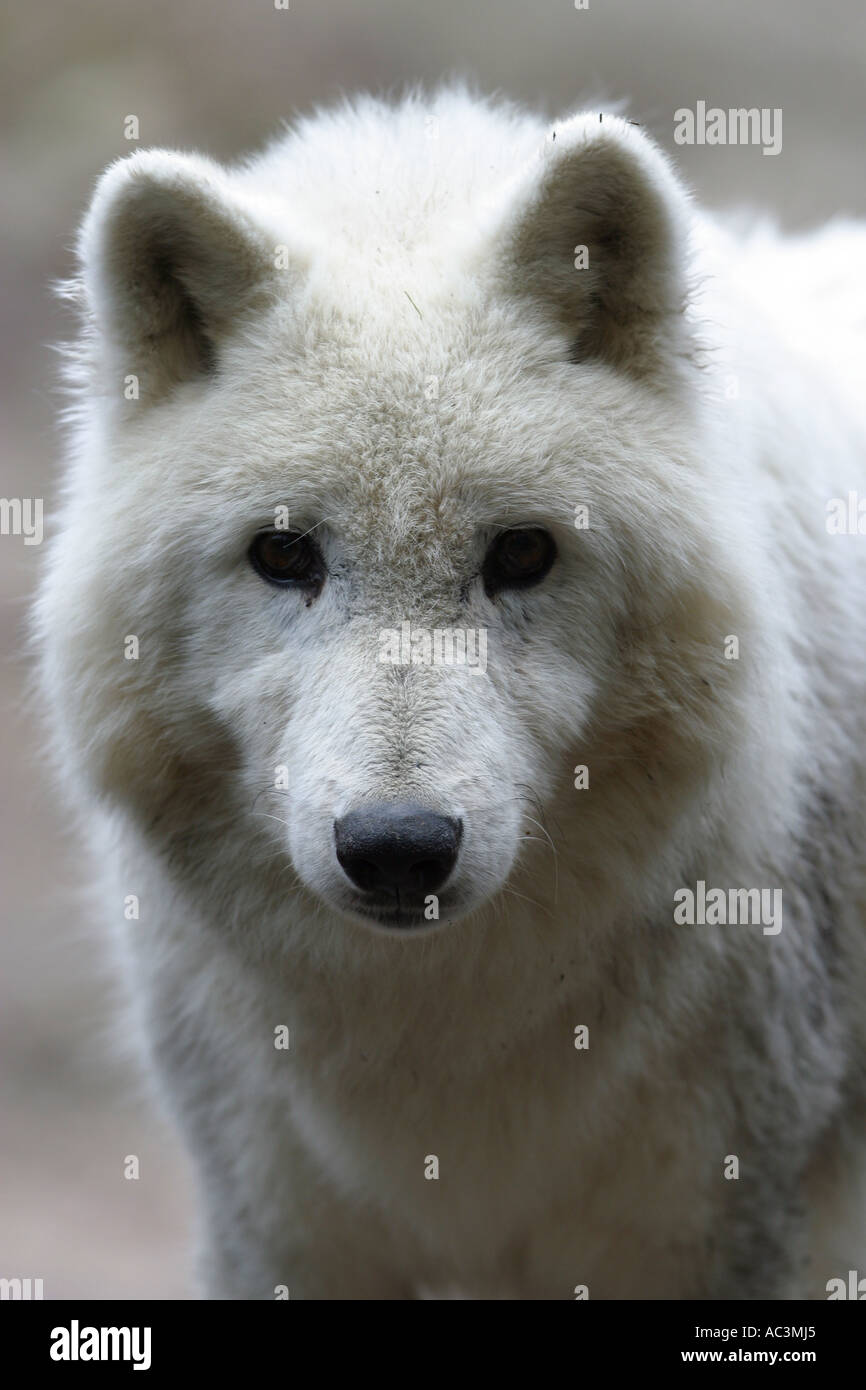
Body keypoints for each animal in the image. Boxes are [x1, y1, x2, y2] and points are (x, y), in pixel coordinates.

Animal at [37, 88, 866, 1298]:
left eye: (520, 553)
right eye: (283, 555)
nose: (396, 849)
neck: (441, 1035)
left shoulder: (719, 1228)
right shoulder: (280, 1235)